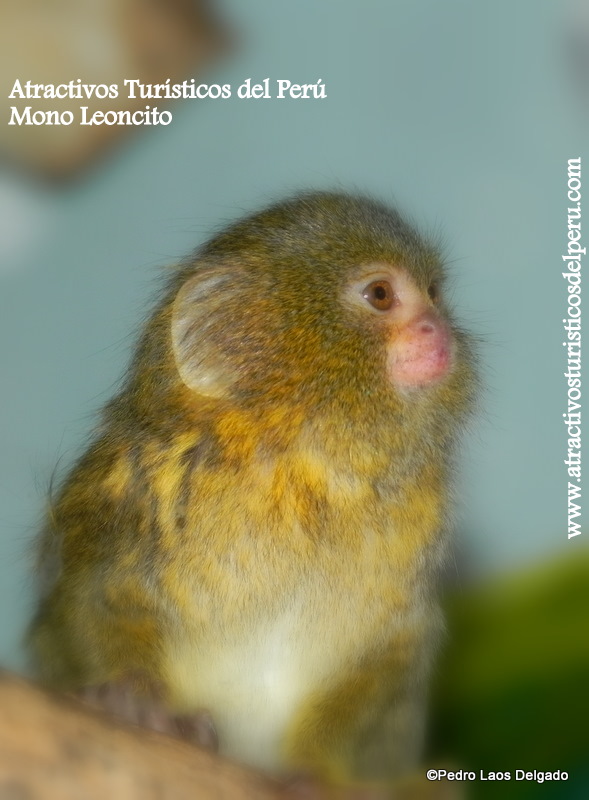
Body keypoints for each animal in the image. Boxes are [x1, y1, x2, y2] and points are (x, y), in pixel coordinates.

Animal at [29, 191, 476, 788]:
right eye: (381, 295)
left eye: (434, 293)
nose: (435, 327)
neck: (299, 464)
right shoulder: (125, 489)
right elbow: (90, 598)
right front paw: (135, 698)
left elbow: (392, 655)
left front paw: (316, 774)